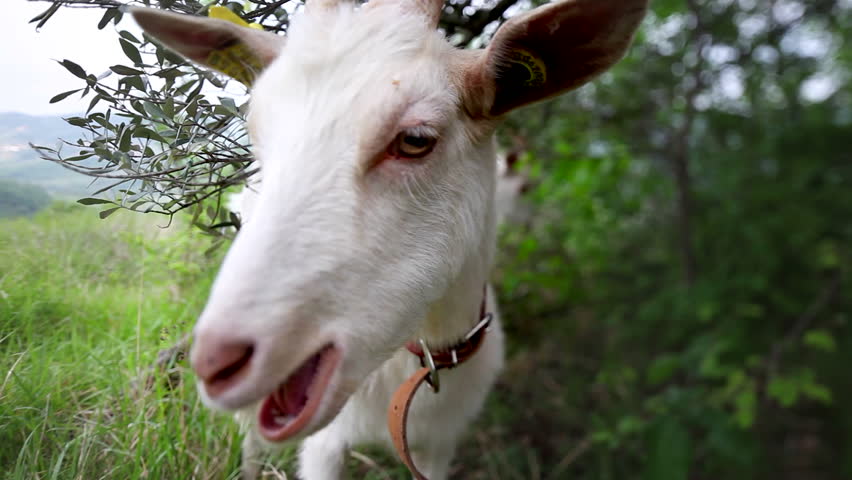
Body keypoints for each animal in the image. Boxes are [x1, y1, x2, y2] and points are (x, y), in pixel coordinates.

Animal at [131, 0, 647, 478]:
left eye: (416, 139)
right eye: (258, 135)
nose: (217, 361)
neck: (427, 358)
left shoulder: (440, 445)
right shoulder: (323, 445)